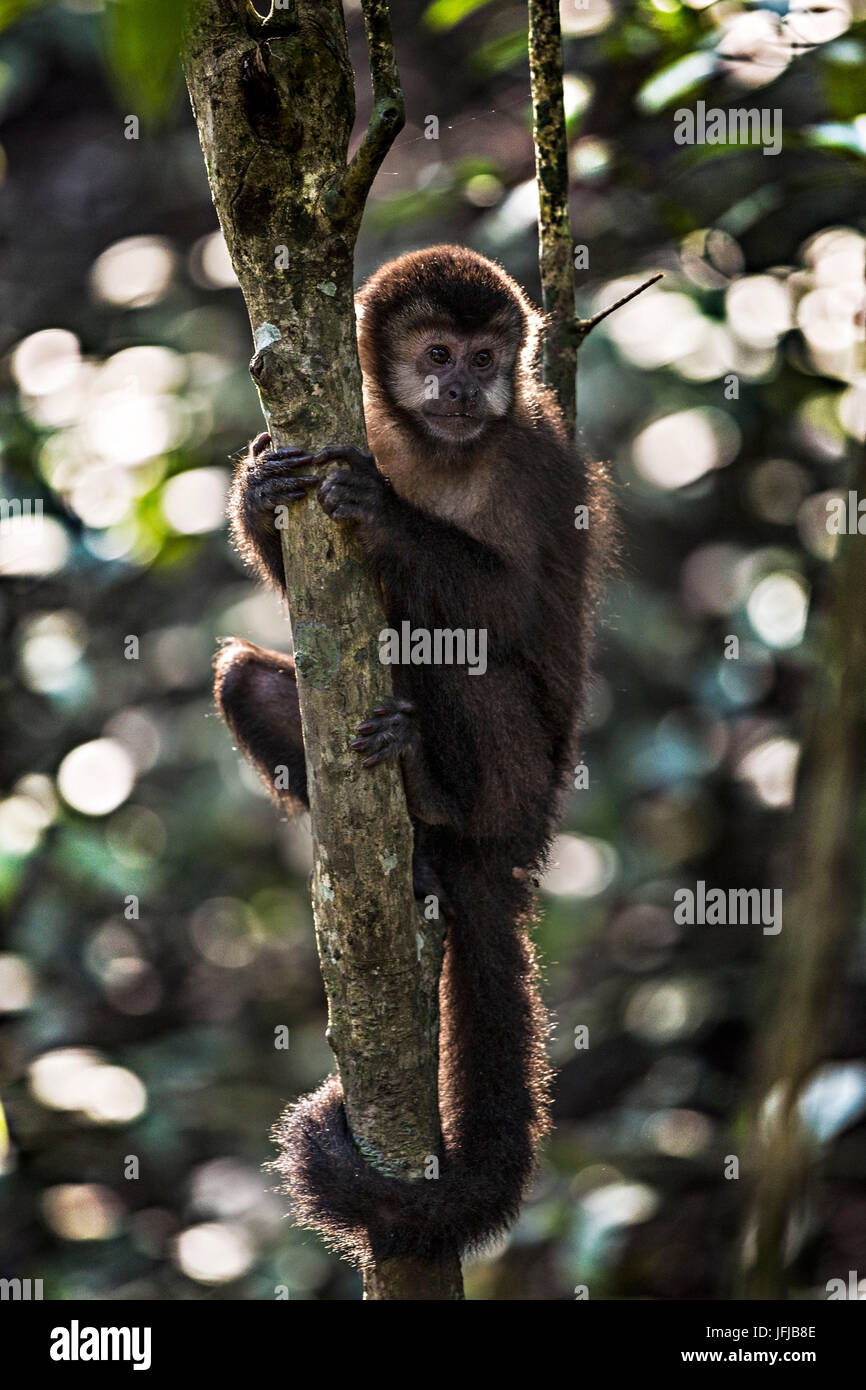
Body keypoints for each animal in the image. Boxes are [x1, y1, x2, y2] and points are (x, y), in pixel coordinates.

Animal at [214, 245, 609, 1267]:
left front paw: (383, 512)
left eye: (485, 357)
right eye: (437, 354)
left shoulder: (536, 458)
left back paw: (433, 788)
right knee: (249, 682)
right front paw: (257, 492)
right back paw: (425, 847)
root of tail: (516, 847)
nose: (465, 388)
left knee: (457, 650)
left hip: (522, 783)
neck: (438, 449)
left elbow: (511, 610)